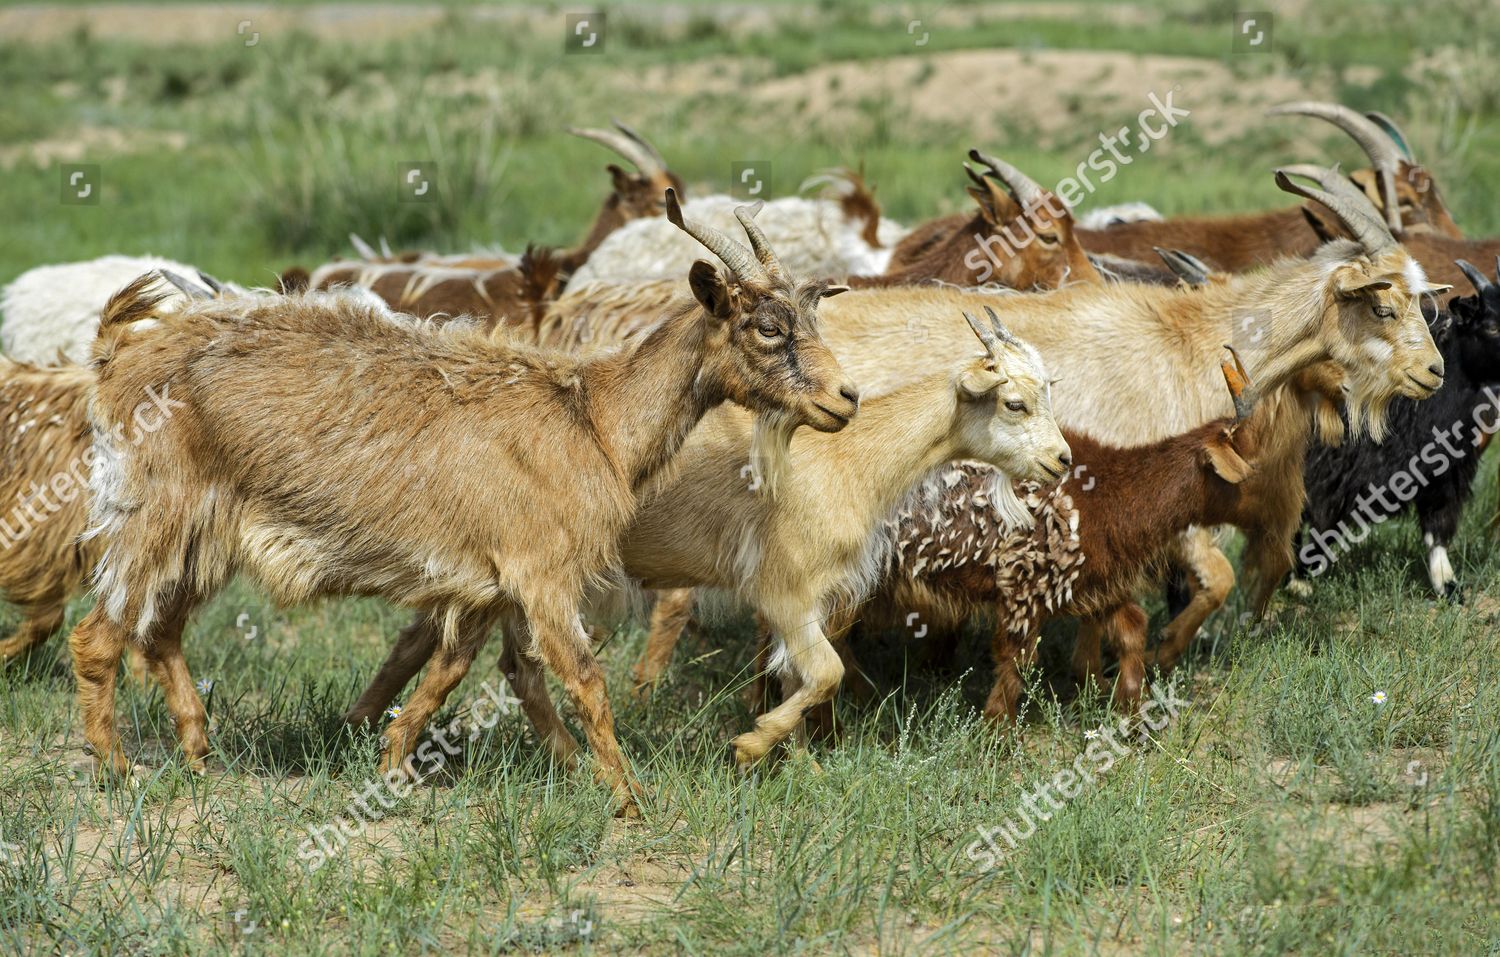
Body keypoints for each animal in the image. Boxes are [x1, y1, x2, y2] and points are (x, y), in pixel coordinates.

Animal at [63, 193, 858, 815]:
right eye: (767, 327)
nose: (844, 398)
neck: (595, 419)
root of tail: (116, 354)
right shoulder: (541, 573)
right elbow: (581, 679)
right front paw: (630, 796)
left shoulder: (484, 582)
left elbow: (456, 673)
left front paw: (396, 764)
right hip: (155, 513)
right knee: (99, 636)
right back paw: (121, 770)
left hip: (207, 534)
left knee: (160, 630)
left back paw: (201, 755)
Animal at [349, 307, 1071, 766]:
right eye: (1014, 403)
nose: (1062, 460)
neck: (852, 461)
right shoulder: (787, 590)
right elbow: (824, 672)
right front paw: (751, 745)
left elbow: (794, 674)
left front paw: (796, 763)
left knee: (448, 647)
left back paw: (368, 730)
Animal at [1299, 257, 1500, 597]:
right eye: (1492, 327)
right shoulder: (1332, 469)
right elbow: (1318, 517)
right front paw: (1300, 579)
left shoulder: (1444, 474)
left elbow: (1437, 529)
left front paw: (1447, 587)